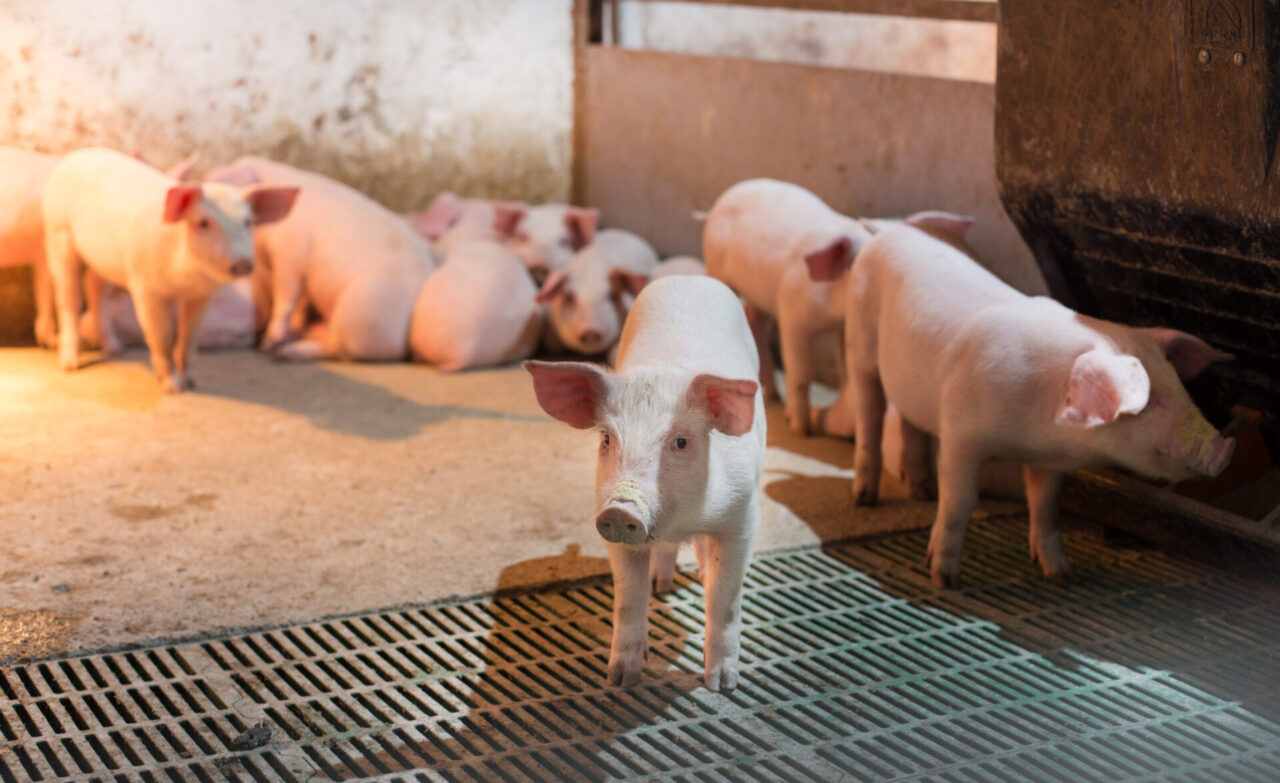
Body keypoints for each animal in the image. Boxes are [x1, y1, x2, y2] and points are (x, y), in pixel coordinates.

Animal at [42, 148, 297, 392]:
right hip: (58, 233)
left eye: (248, 222)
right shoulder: (145, 288)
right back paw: (70, 364)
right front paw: (172, 388)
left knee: (96, 289)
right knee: (69, 298)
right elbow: (161, 336)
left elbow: (188, 337)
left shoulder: (202, 295)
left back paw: (115, 349)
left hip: (102, 257)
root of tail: (76, 155)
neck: (185, 280)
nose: (243, 262)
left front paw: (192, 383)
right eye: (203, 223)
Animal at [205, 157, 436, 361]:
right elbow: (299, 300)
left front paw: (267, 343)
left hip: (366, 308)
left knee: (338, 348)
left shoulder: (291, 250)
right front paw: (291, 325)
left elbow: (286, 295)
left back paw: (285, 352)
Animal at [526, 274, 765, 690]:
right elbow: (628, 600)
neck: (683, 521)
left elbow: (725, 598)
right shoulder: (611, 526)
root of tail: (689, 276)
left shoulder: (743, 515)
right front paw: (621, 680)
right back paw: (660, 584)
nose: (622, 508)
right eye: (607, 438)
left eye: (680, 442)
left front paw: (721, 684)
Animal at [704, 178, 974, 437]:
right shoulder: (791, 313)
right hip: (716, 265)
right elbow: (801, 374)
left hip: (759, 296)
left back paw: (773, 396)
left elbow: (845, 368)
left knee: (756, 323)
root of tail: (720, 202)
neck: (833, 311)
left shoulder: (844, 326)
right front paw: (802, 429)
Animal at [826, 221, 1235, 587]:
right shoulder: (960, 435)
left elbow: (1045, 506)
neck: (1029, 433)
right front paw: (944, 581)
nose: (1224, 448)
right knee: (869, 413)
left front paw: (1063, 577)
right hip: (859, 342)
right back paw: (865, 499)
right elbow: (959, 502)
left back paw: (921, 492)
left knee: (908, 421)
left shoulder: (1048, 460)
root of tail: (888, 231)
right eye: (1149, 400)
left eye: (1178, 386)